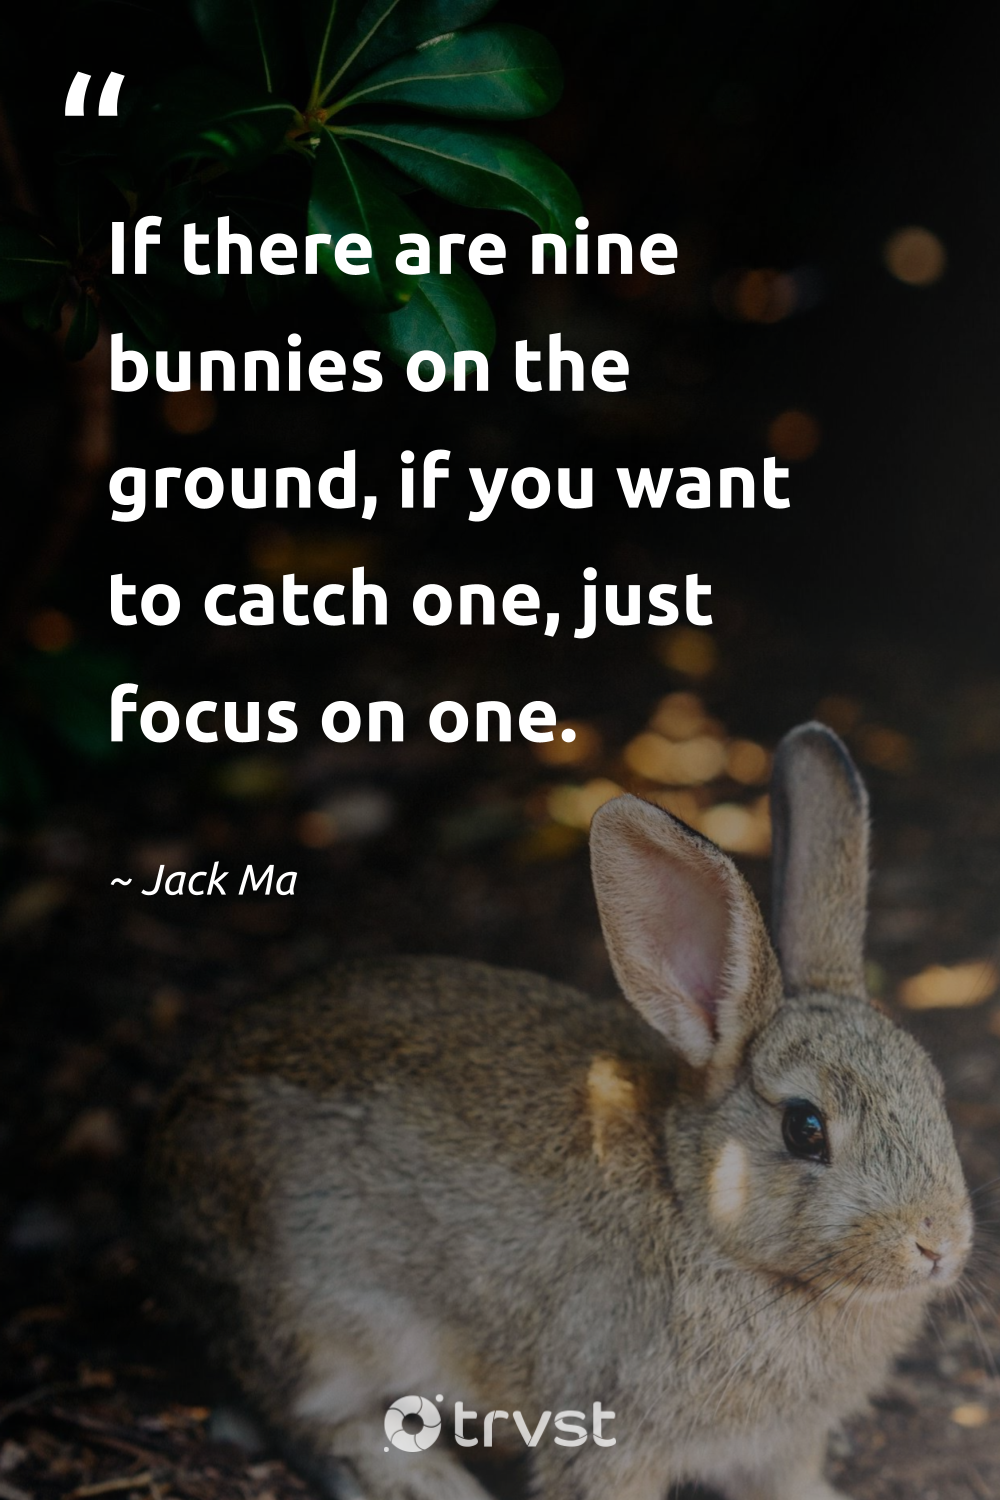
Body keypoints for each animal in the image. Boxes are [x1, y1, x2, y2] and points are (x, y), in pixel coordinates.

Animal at [146, 722, 973, 1500]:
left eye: (932, 1088)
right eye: (805, 1130)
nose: (939, 1244)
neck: (699, 1207)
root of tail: (174, 1133)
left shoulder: (780, 1450)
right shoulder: (608, 1431)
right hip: (318, 1324)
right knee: (313, 1419)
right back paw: (430, 1480)